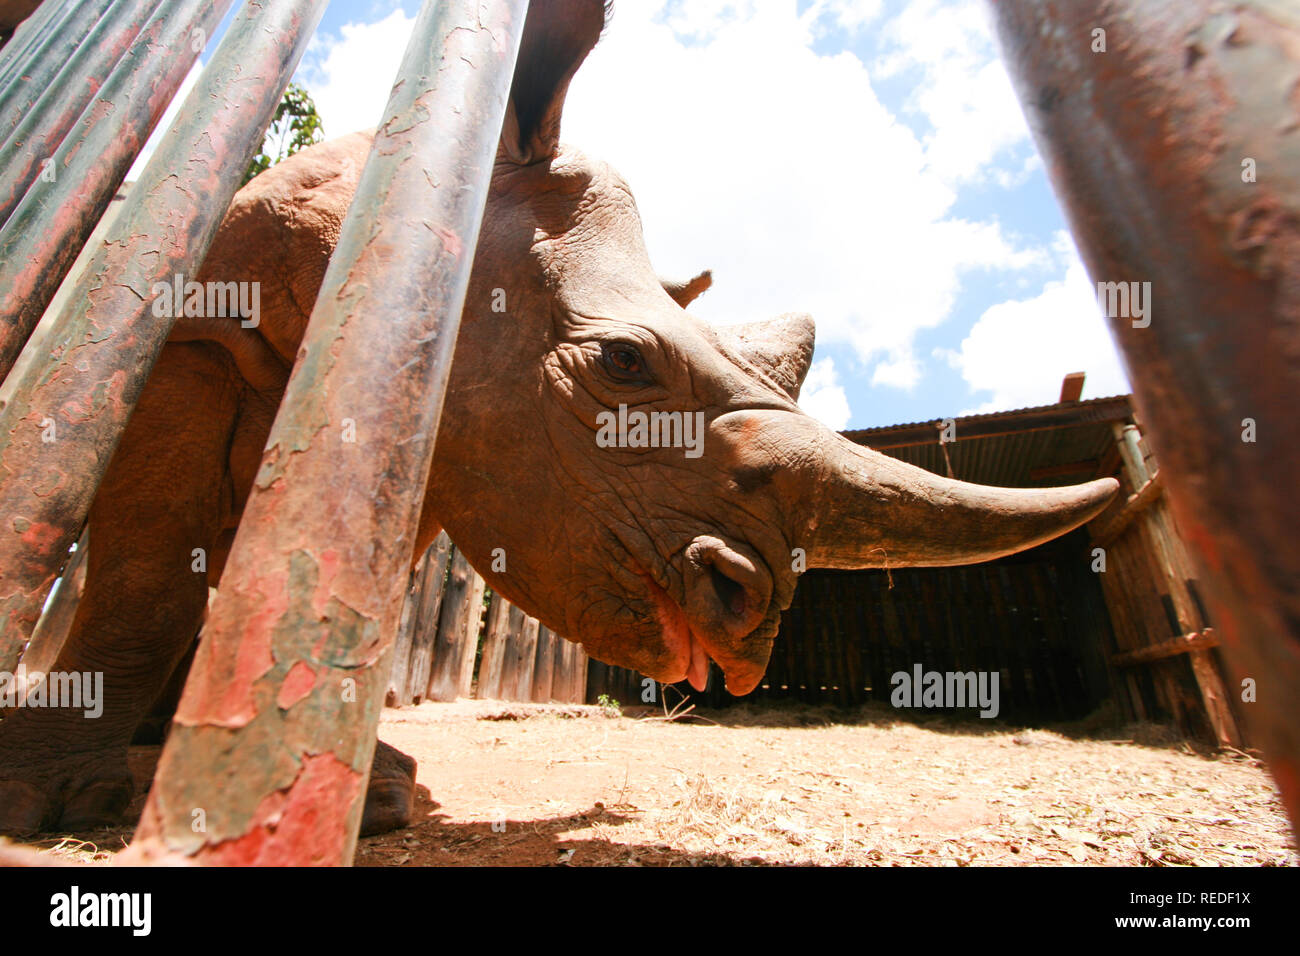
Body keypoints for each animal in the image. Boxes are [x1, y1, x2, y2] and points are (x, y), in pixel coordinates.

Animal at [0, 0, 1116, 837]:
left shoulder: (447, 438)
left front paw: (368, 791)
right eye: (623, 362)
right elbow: (148, 563)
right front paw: (55, 794)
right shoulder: (202, 337)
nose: (750, 618)